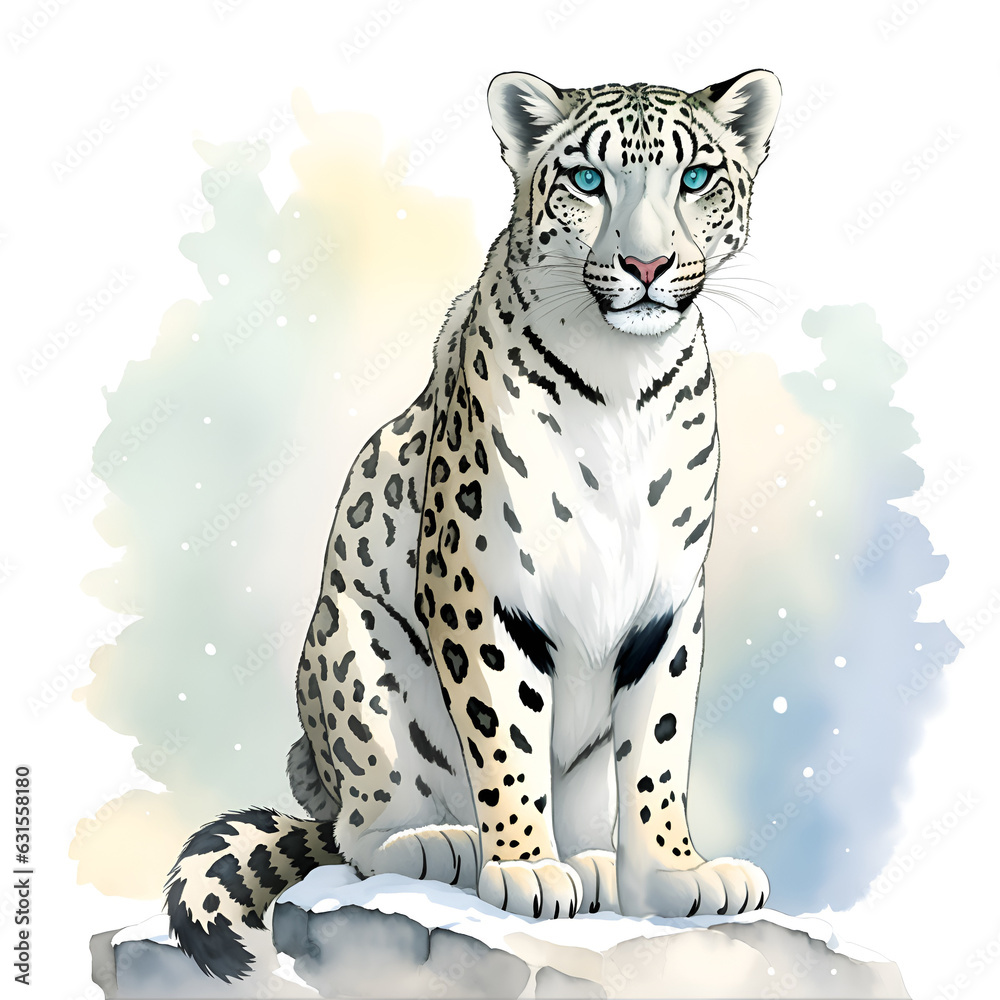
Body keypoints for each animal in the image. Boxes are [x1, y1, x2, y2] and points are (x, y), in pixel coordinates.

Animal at [166, 67, 782, 981]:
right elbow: (507, 731)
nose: (647, 263)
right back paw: (442, 842)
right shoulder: (481, 581)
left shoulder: (668, 599)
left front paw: (674, 875)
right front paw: (524, 868)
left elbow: (660, 746)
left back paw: (594, 860)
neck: (623, 378)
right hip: (358, 665)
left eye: (697, 177)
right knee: (357, 828)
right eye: (588, 179)